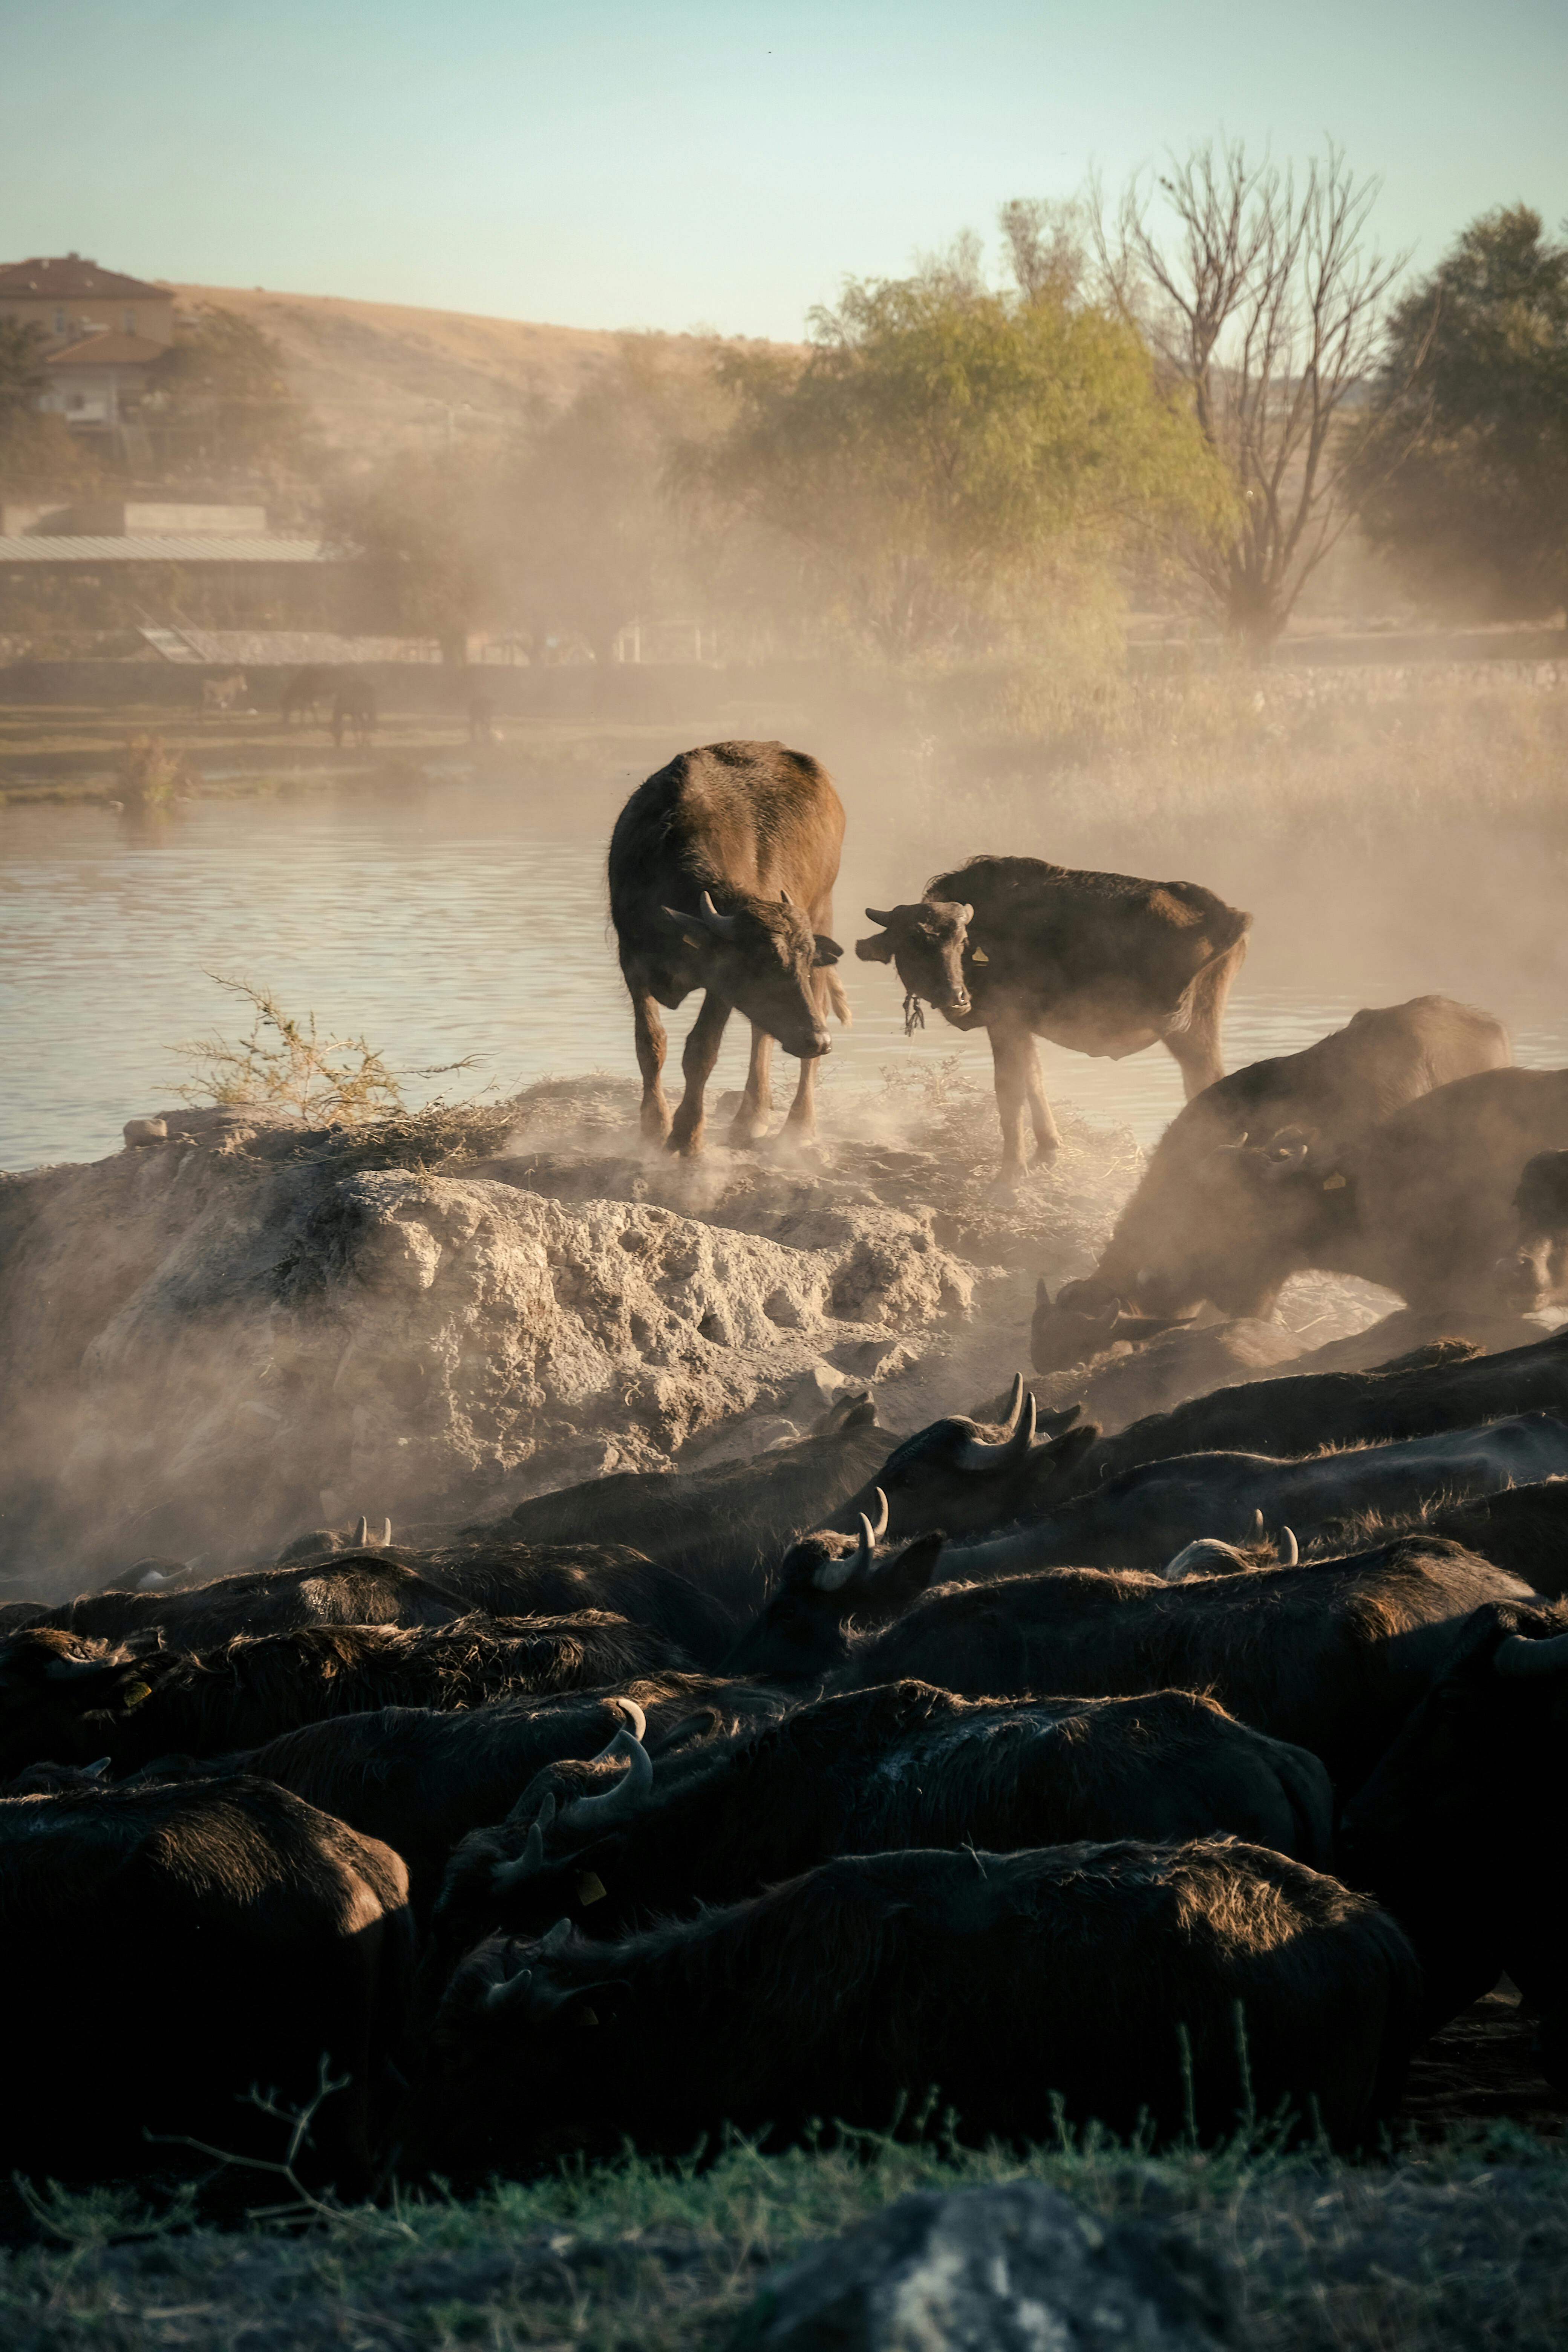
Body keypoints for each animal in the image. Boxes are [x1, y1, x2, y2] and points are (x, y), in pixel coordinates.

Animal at [332, 679, 377, 747]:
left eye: (335, 733)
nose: (337, 744)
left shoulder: (355, 713)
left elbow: (355, 727)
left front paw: (358, 744)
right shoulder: (353, 714)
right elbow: (355, 726)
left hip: (364, 711)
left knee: (366, 724)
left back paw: (365, 742)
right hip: (369, 710)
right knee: (368, 723)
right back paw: (368, 742)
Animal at [607, 741, 848, 1157]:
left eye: (802, 964)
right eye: (761, 964)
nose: (819, 1041)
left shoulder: (720, 985)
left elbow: (702, 1050)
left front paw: (686, 1135)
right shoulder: (633, 964)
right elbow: (650, 1045)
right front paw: (654, 1127)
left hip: (822, 911)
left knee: (808, 1012)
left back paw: (799, 1126)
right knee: (762, 1031)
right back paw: (750, 1118)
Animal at [854, 857, 1251, 1180]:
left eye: (962, 941)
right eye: (912, 941)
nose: (957, 997)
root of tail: (1227, 913)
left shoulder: (1006, 1024)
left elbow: (1011, 1091)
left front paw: (1010, 1176)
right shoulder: (1020, 1028)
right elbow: (1035, 1080)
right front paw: (1047, 1152)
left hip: (1191, 1034)